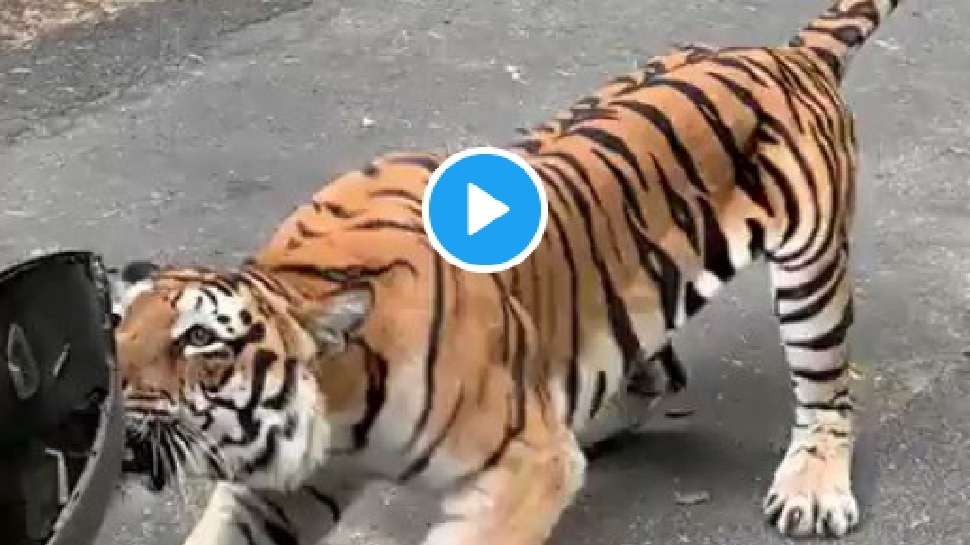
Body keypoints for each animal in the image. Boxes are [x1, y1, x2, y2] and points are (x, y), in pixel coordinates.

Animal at [110, 0, 907, 544]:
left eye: (198, 341)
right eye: (117, 324)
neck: (334, 404)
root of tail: (782, 53)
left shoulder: (522, 469)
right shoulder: (276, 488)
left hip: (810, 274)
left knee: (826, 392)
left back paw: (811, 488)